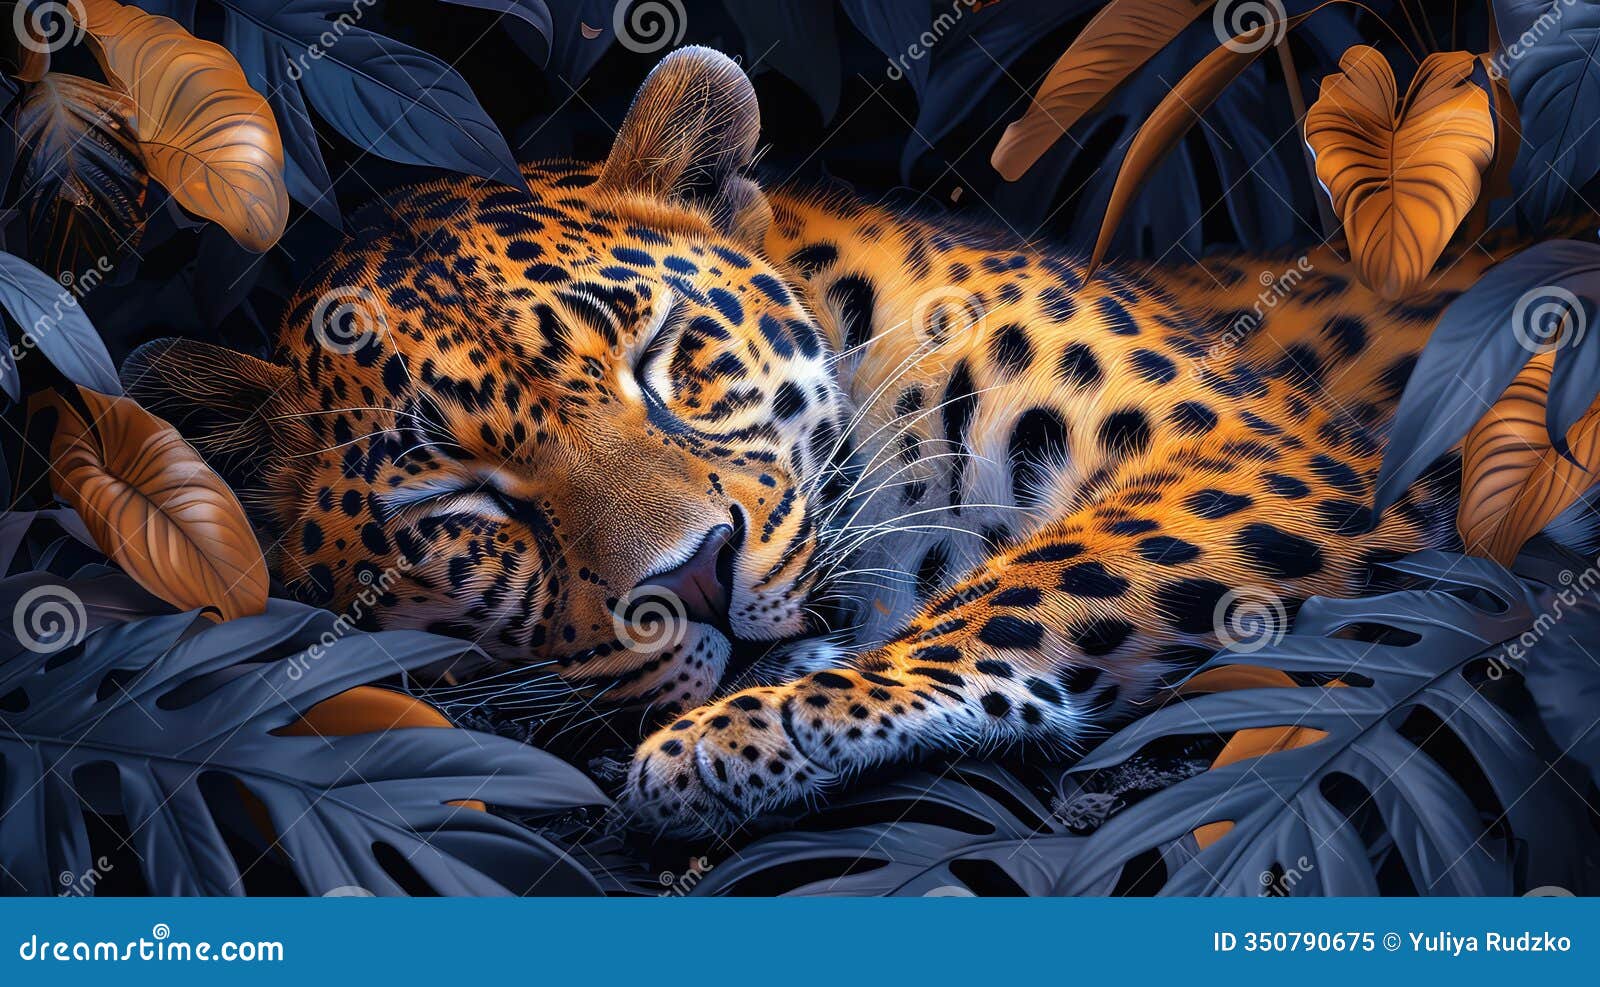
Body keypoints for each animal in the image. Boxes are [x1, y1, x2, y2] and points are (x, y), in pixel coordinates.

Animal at [122, 46, 1588, 839]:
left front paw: (747, 733)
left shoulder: (1251, 445)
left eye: (664, 355)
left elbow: (1037, 585)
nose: (695, 574)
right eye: (462, 503)